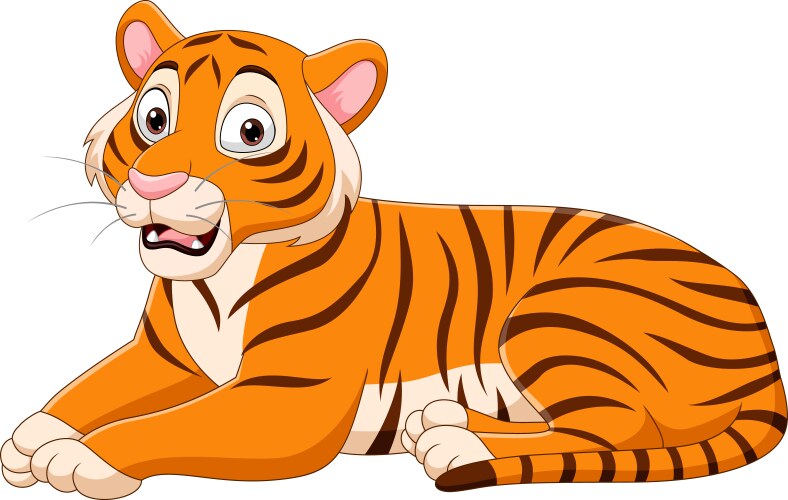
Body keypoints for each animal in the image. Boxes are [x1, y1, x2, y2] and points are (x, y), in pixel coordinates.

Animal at [1, 1, 785, 498]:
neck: (217, 280)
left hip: (556, 311)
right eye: (155, 117)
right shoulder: (164, 357)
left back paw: (457, 446)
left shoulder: (286, 400)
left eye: (249, 132)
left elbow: (164, 423)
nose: (152, 181)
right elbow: (92, 386)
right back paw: (442, 423)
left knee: (611, 428)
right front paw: (32, 436)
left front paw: (76, 457)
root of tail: (765, 344)